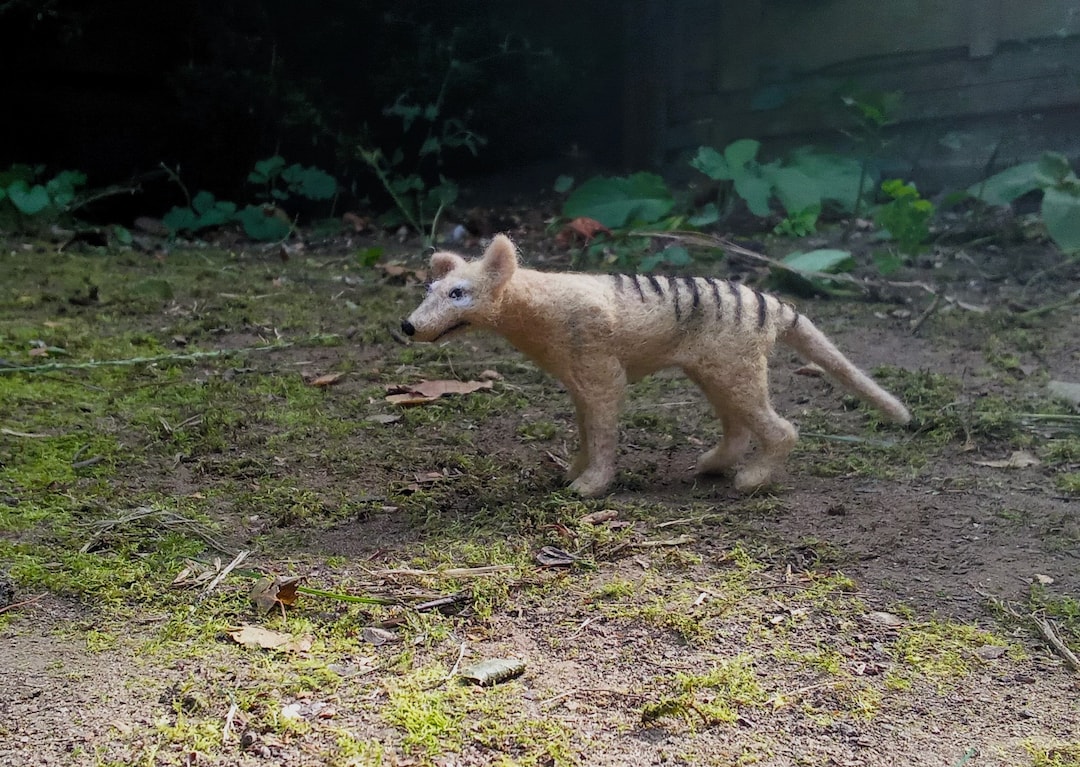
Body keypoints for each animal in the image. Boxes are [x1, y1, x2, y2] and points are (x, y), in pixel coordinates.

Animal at [401, 234, 911, 497]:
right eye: (430, 289)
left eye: (458, 293)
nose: (407, 326)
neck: (541, 305)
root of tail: (774, 305)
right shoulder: (579, 381)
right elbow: (586, 431)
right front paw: (574, 471)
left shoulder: (602, 376)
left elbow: (603, 434)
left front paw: (590, 485)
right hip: (715, 371)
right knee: (738, 429)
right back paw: (712, 465)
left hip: (734, 370)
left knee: (780, 430)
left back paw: (750, 479)